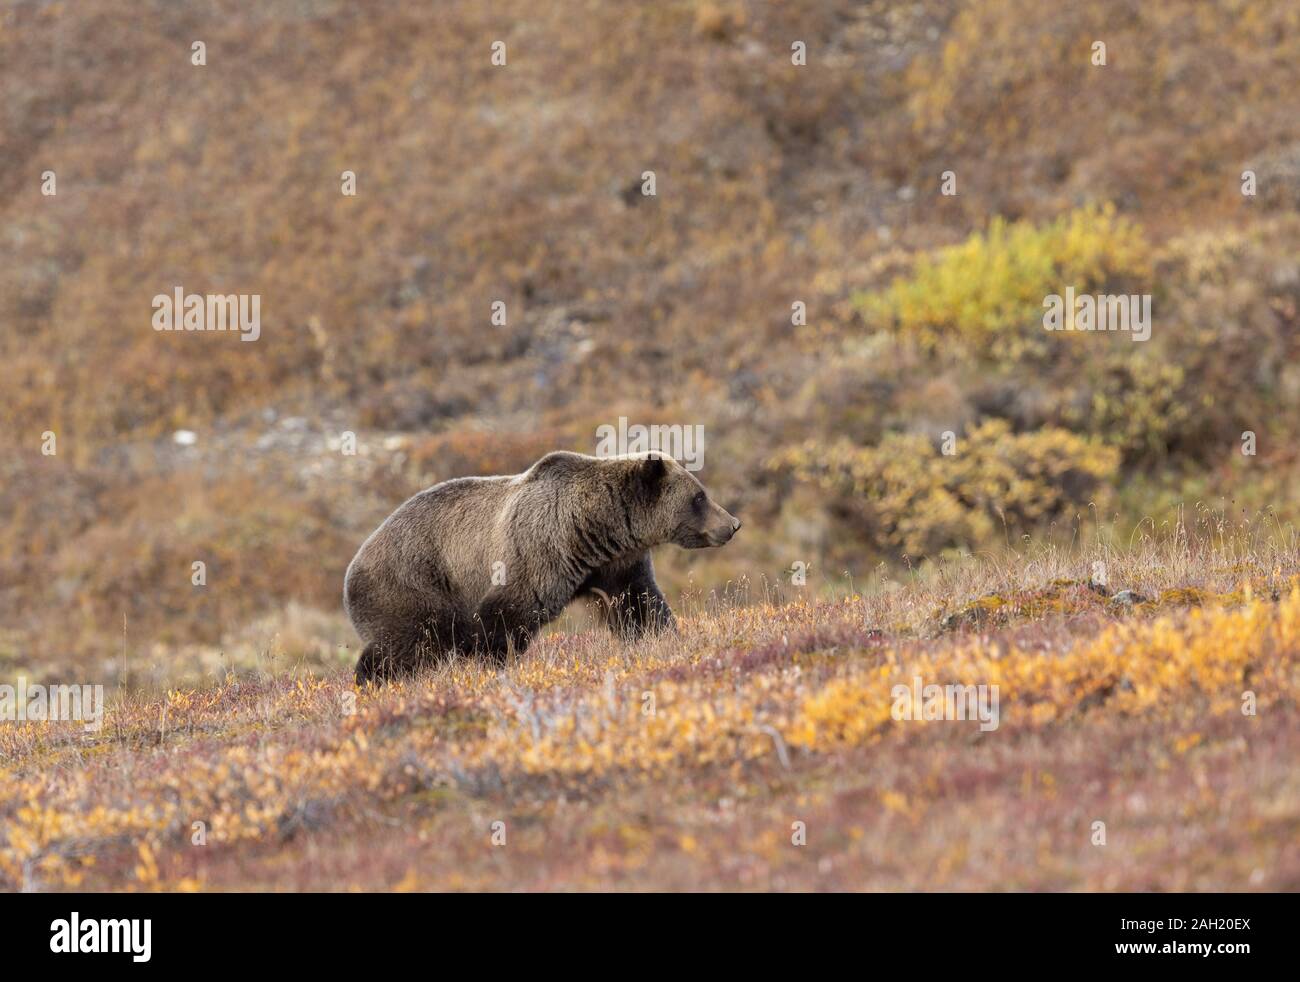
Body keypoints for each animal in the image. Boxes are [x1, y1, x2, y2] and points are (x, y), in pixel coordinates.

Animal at [344, 450, 740, 684]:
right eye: (699, 496)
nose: (733, 524)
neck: (593, 530)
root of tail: (352, 568)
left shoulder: (615, 565)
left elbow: (640, 605)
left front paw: (662, 638)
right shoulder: (536, 556)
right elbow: (503, 619)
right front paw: (494, 667)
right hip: (412, 584)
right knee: (409, 645)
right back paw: (372, 680)